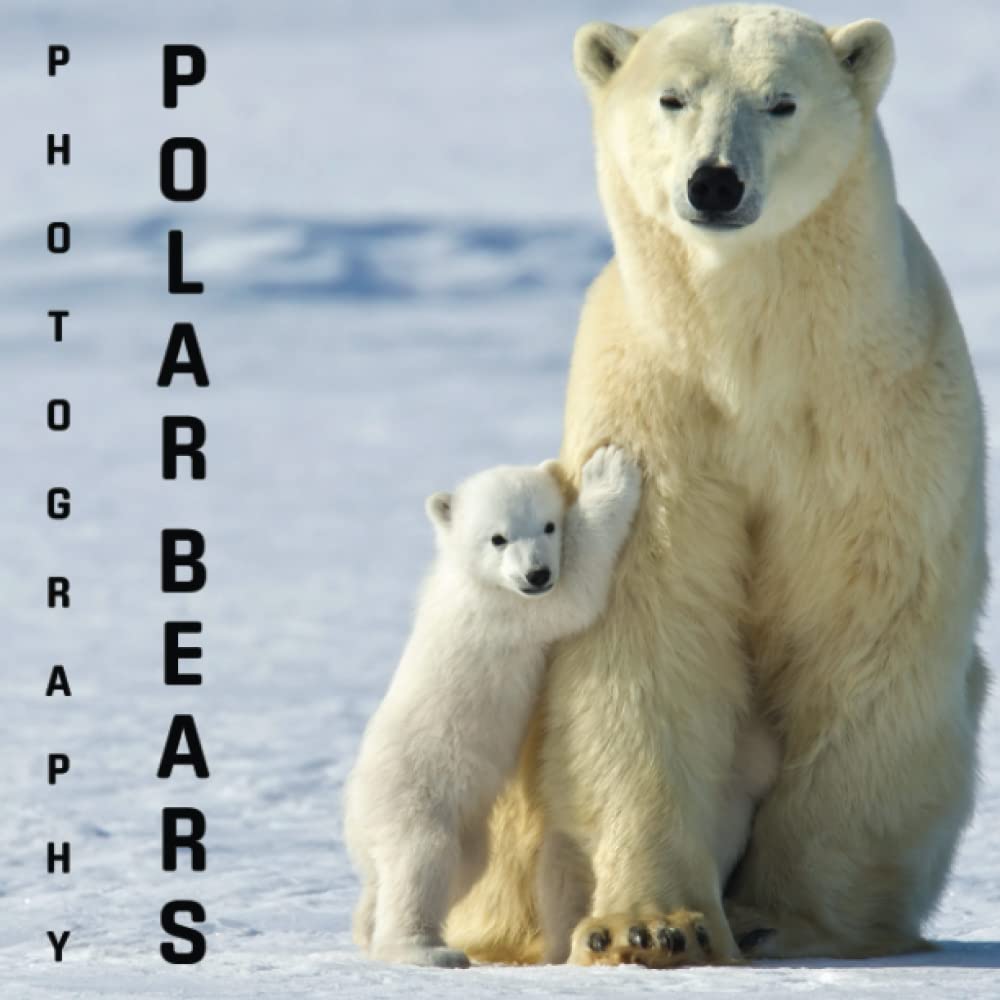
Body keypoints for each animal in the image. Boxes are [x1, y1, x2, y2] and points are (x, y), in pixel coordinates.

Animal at [343, 445, 641, 967]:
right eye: (498, 538)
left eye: (547, 525)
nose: (536, 573)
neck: (469, 577)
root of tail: (353, 812)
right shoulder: (505, 611)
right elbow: (574, 593)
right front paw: (607, 472)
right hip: (415, 793)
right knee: (420, 860)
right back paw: (427, 950)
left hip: (463, 827)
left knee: (453, 869)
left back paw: (368, 926)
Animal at [444, 3, 988, 968]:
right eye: (673, 96)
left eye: (781, 101)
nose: (716, 183)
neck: (753, 355)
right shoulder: (657, 412)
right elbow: (649, 634)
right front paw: (655, 925)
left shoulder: (876, 421)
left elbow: (866, 631)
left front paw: (788, 918)